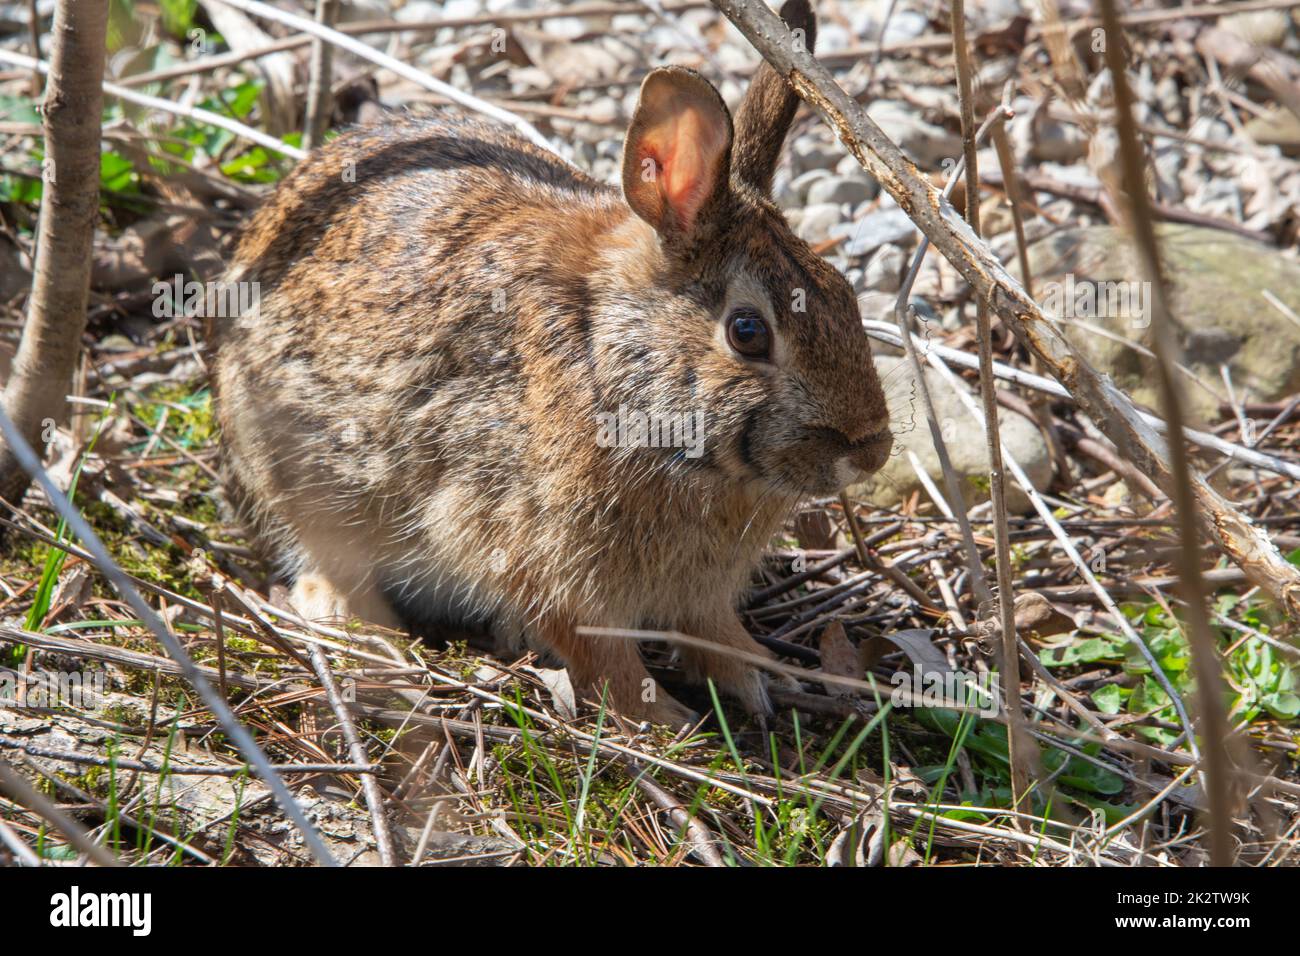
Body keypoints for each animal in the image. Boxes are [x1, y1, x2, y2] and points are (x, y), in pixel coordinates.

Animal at [212, 0, 892, 727]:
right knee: (318, 563)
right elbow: (594, 645)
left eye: (847, 294)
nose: (871, 451)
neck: (607, 364)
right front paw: (662, 719)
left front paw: (752, 675)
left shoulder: (698, 590)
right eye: (747, 332)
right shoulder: (530, 546)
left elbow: (708, 628)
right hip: (290, 470)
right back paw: (358, 625)